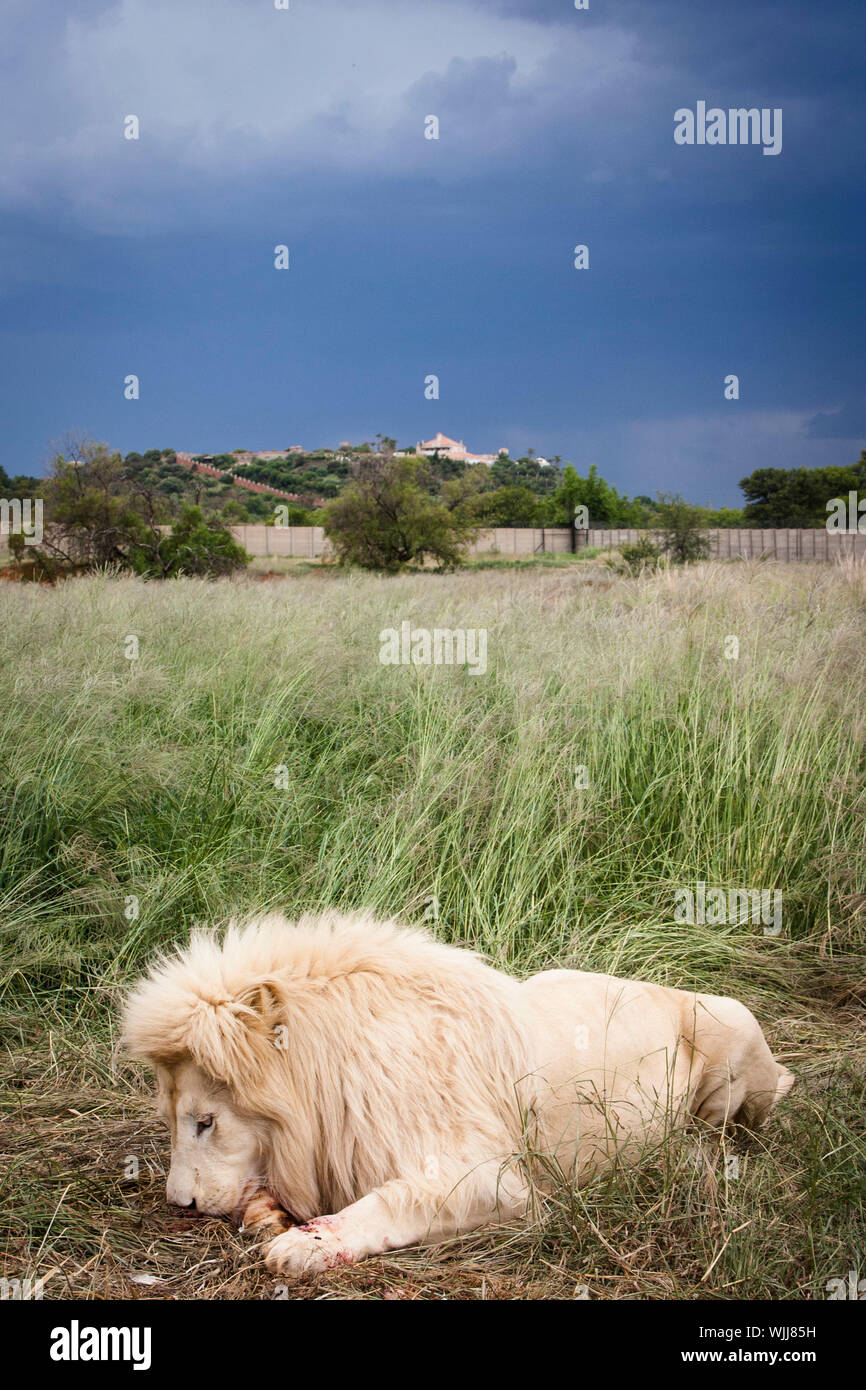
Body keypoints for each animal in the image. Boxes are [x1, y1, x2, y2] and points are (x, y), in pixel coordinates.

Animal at [121, 911, 794, 1278]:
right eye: (172, 1120)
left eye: (206, 1121)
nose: (179, 1205)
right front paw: (269, 1215)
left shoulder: (497, 1179)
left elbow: (390, 1203)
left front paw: (307, 1245)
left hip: (730, 1021)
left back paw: (690, 1155)